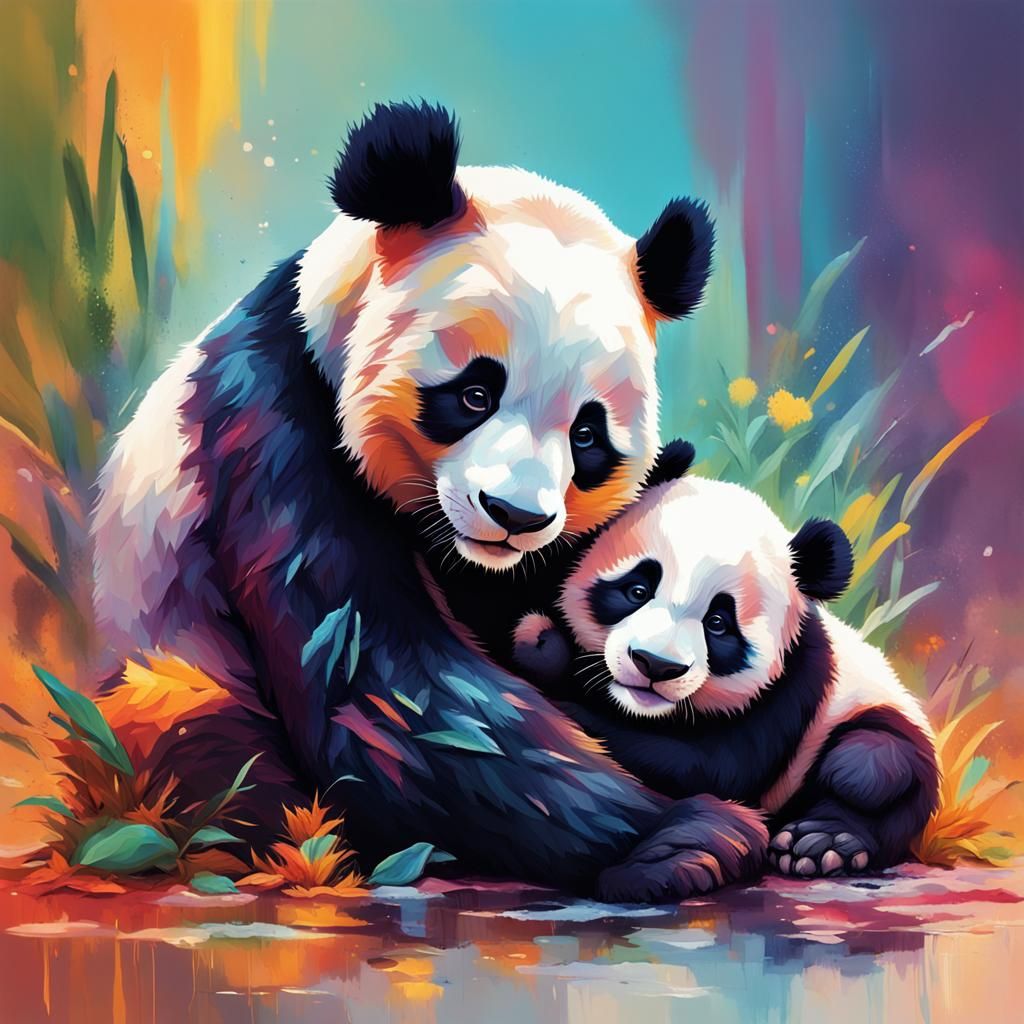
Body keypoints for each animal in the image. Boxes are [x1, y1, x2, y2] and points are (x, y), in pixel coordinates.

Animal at [90, 101, 768, 902]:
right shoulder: (274, 428)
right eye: (474, 393)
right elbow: (378, 681)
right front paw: (689, 837)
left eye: (587, 433)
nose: (516, 518)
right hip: (168, 683)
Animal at [503, 441, 940, 876]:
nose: (655, 664)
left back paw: (822, 842)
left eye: (718, 624)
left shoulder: (792, 688)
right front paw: (544, 652)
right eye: (637, 590)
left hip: (875, 717)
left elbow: (713, 767)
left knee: (870, 768)